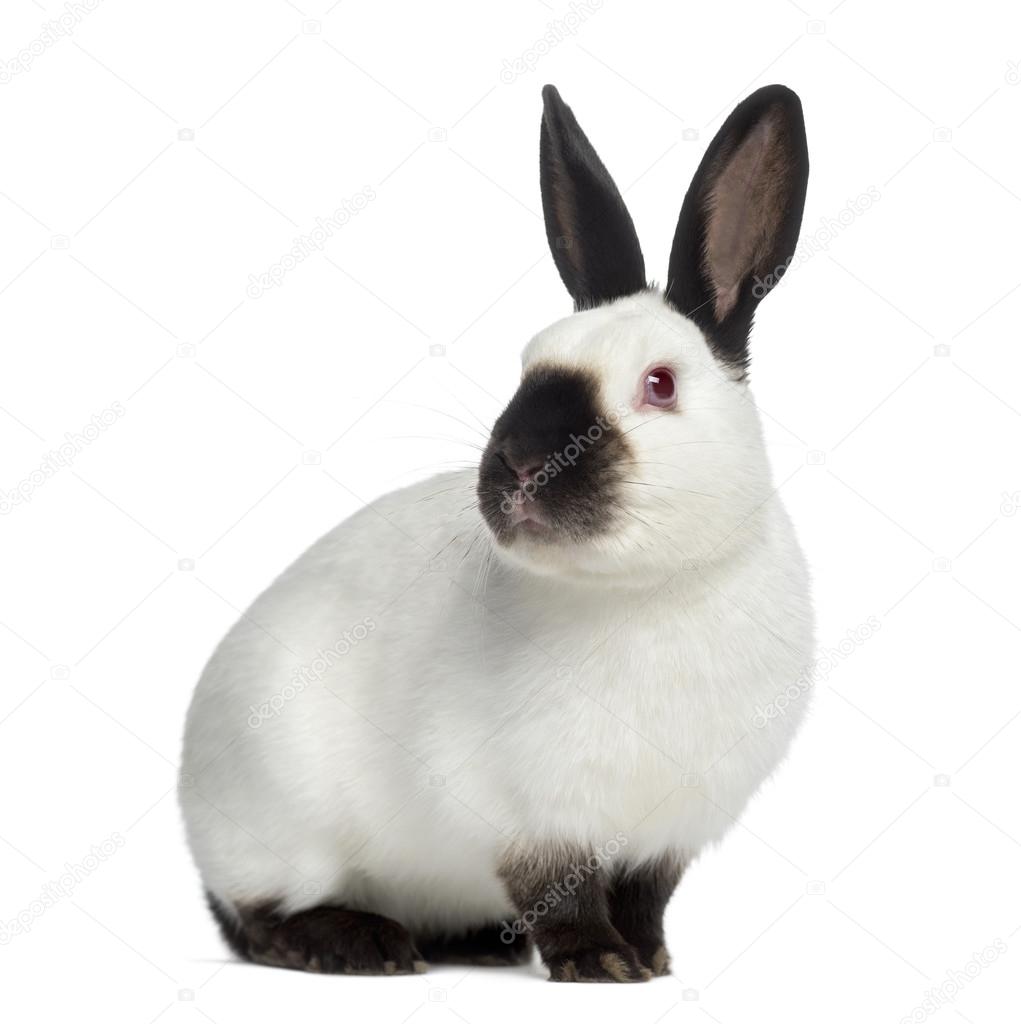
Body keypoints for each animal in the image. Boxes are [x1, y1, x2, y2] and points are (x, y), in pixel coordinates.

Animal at [180, 82, 813, 983]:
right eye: (525, 367)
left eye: (659, 385)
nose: (519, 464)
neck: (643, 591)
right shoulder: (530, 816)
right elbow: (560, 893)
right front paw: (598, 965)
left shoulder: (666, 831)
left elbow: (644, 899)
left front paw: (651, 960)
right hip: (279, 829)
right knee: (257, 920)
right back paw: (363, 946)